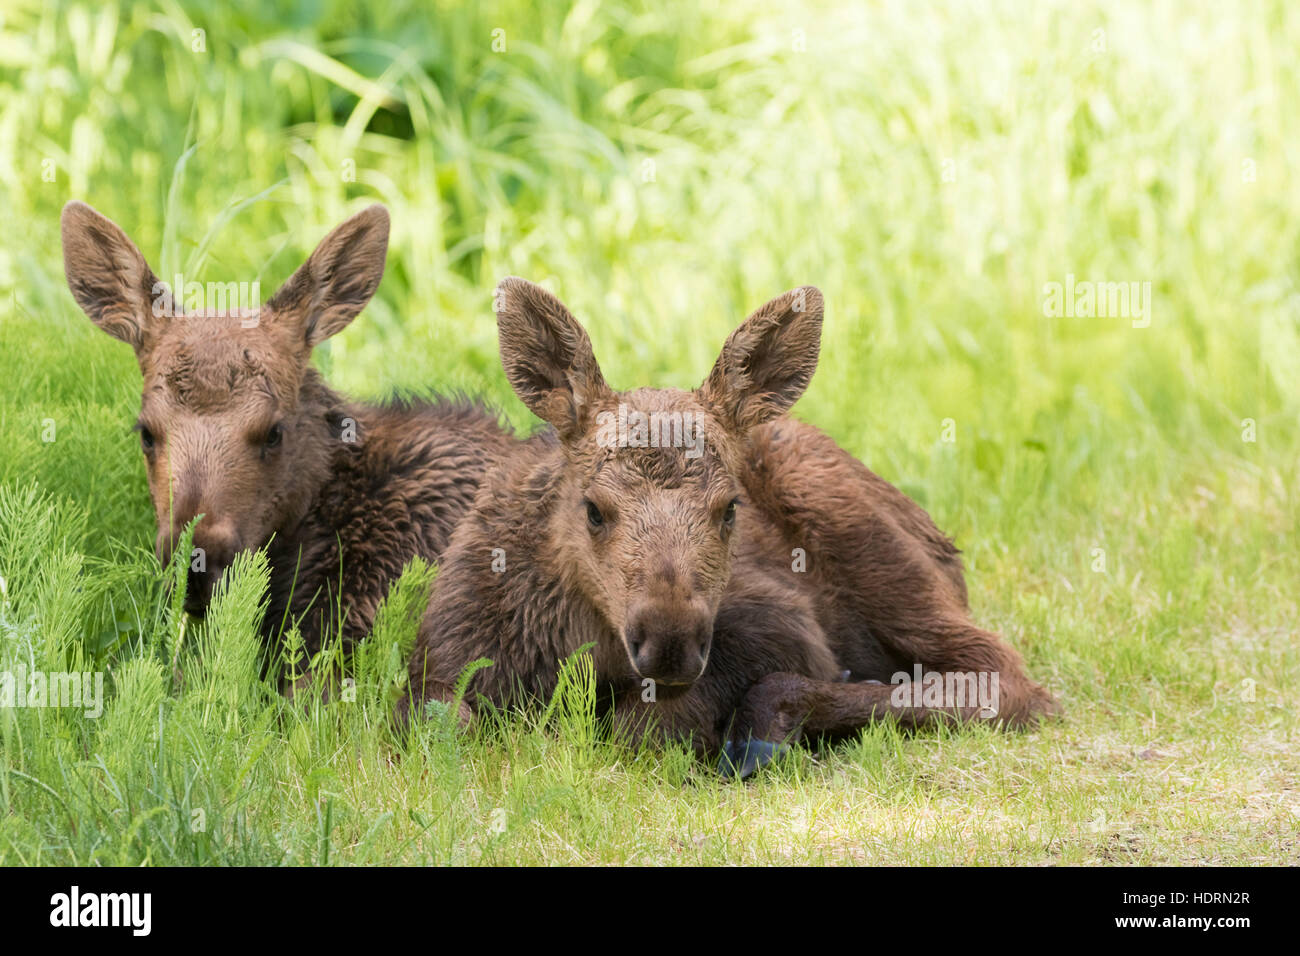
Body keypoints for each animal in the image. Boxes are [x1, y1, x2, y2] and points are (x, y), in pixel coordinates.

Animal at [401, 277, 1058, 773]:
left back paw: (764, 731)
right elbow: (440, 725)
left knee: (1009, 678)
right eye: (592, 509)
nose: (669, 641)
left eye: (731, 508)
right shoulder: (446, 658)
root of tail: (941, 544)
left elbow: (641, 731)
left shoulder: (785, 623)